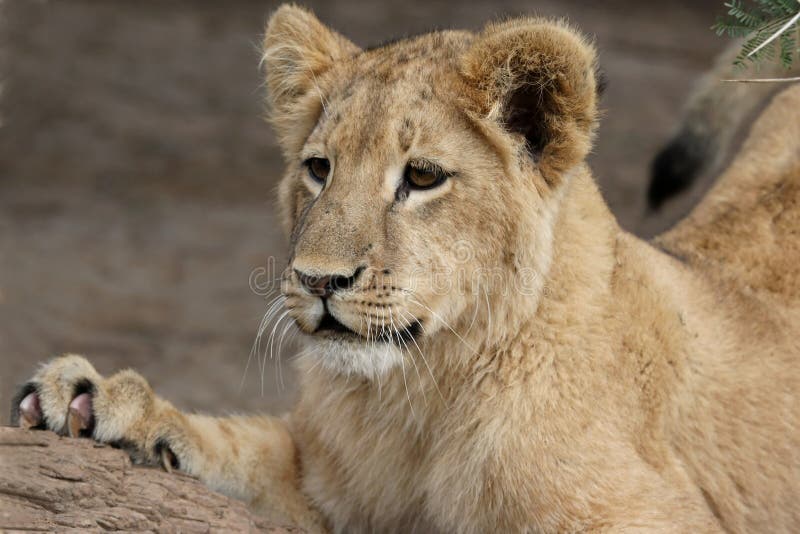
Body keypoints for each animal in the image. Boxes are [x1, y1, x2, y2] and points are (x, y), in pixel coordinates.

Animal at [11, 5, 800, 532]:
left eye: (421, 177)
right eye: (319, 169)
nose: (319, 280)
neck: (423, 396)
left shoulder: (655, 514)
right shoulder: (327, 486)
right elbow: (240, 445)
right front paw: (92, 400)